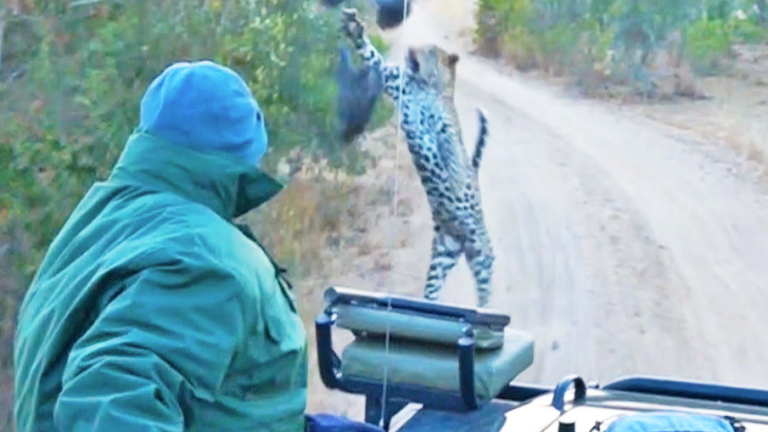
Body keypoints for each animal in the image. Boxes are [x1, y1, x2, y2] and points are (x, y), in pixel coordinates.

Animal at [339, 7, 495, 308]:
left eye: (430, 51)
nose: (411, 48)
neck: (424, 85)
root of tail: (459, 241)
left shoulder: (445, 126)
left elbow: (452, 150)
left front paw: (456, 179)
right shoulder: (393, 79)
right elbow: (372, 56)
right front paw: (355, 30)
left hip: (481, 252)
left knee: (486, 285)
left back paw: (484, 310)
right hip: (441, 258)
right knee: (433, 291)